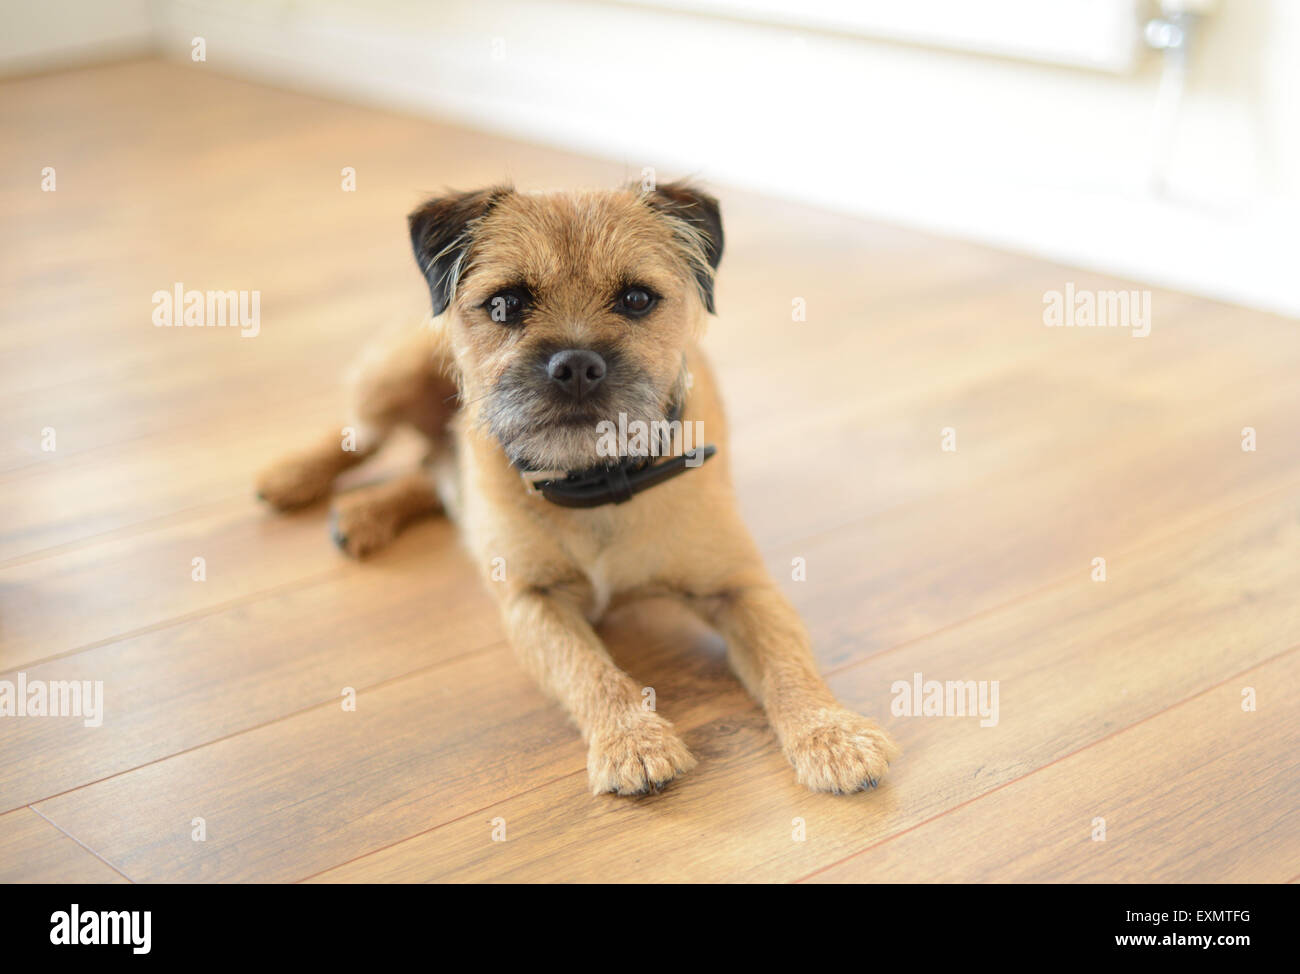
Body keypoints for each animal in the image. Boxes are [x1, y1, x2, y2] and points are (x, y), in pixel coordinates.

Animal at [257, 181, 897, 795]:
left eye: (637, 299)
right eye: (505, 303)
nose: (576, 366)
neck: (597, 478)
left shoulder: (740, 587)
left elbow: (787, 658)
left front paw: (831, 735)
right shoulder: (531, 600)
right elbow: (588, 671)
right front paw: (633, 742)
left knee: (430, 469)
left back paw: (365, 511)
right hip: (389, 375)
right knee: (363, 439)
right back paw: (294, 479)